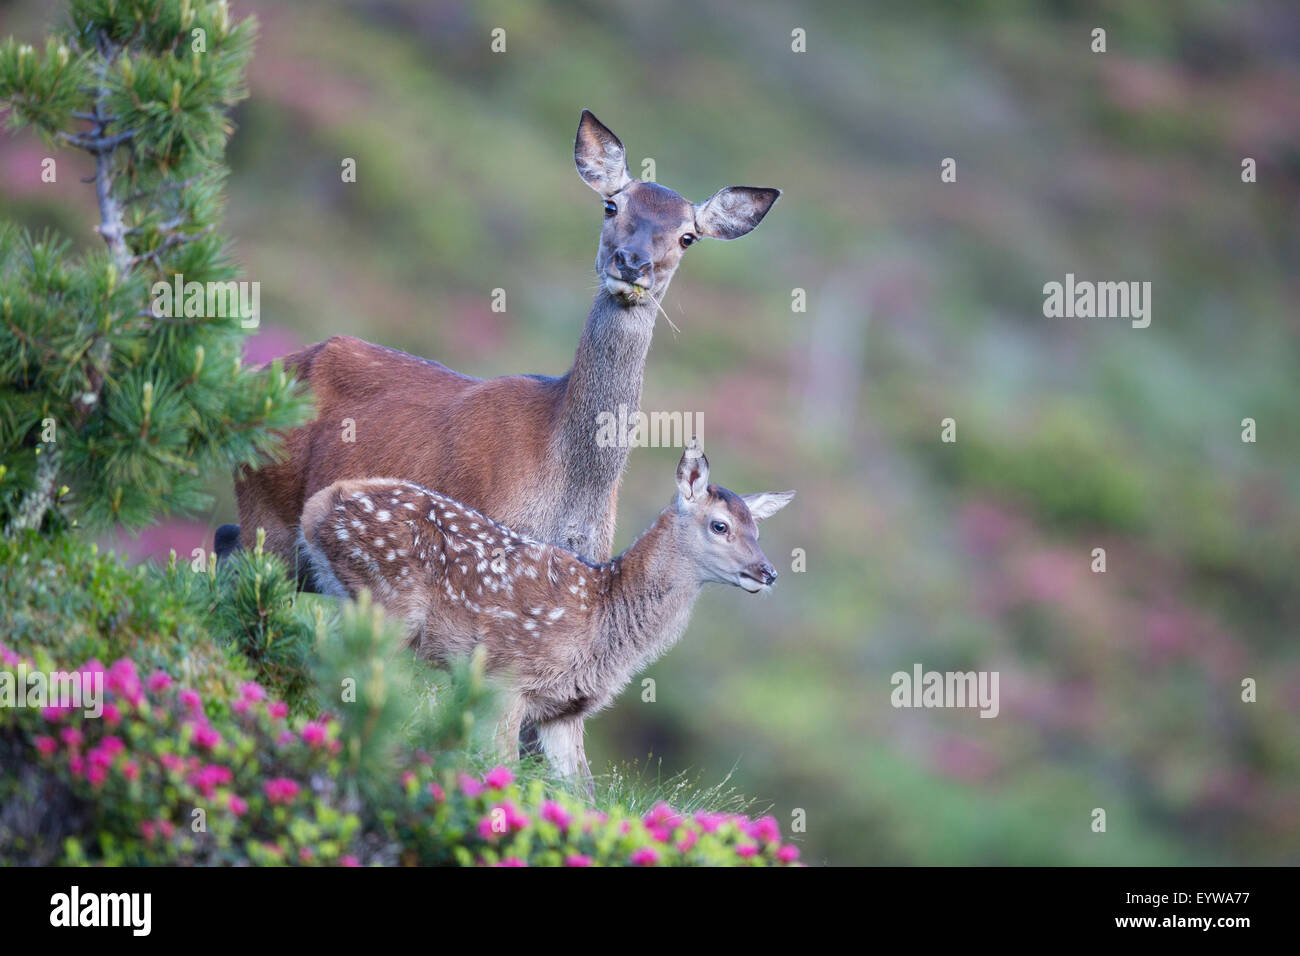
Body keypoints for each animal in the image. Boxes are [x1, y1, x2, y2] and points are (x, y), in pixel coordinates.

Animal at [296, 441, 794, 786]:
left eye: (757, 529)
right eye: (720, 525)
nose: (767, 572)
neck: (603, 616)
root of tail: (316, 506)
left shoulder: (564, 711)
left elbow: (583, 793)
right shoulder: (506, 677)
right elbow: (501, 768)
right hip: (388, 598)